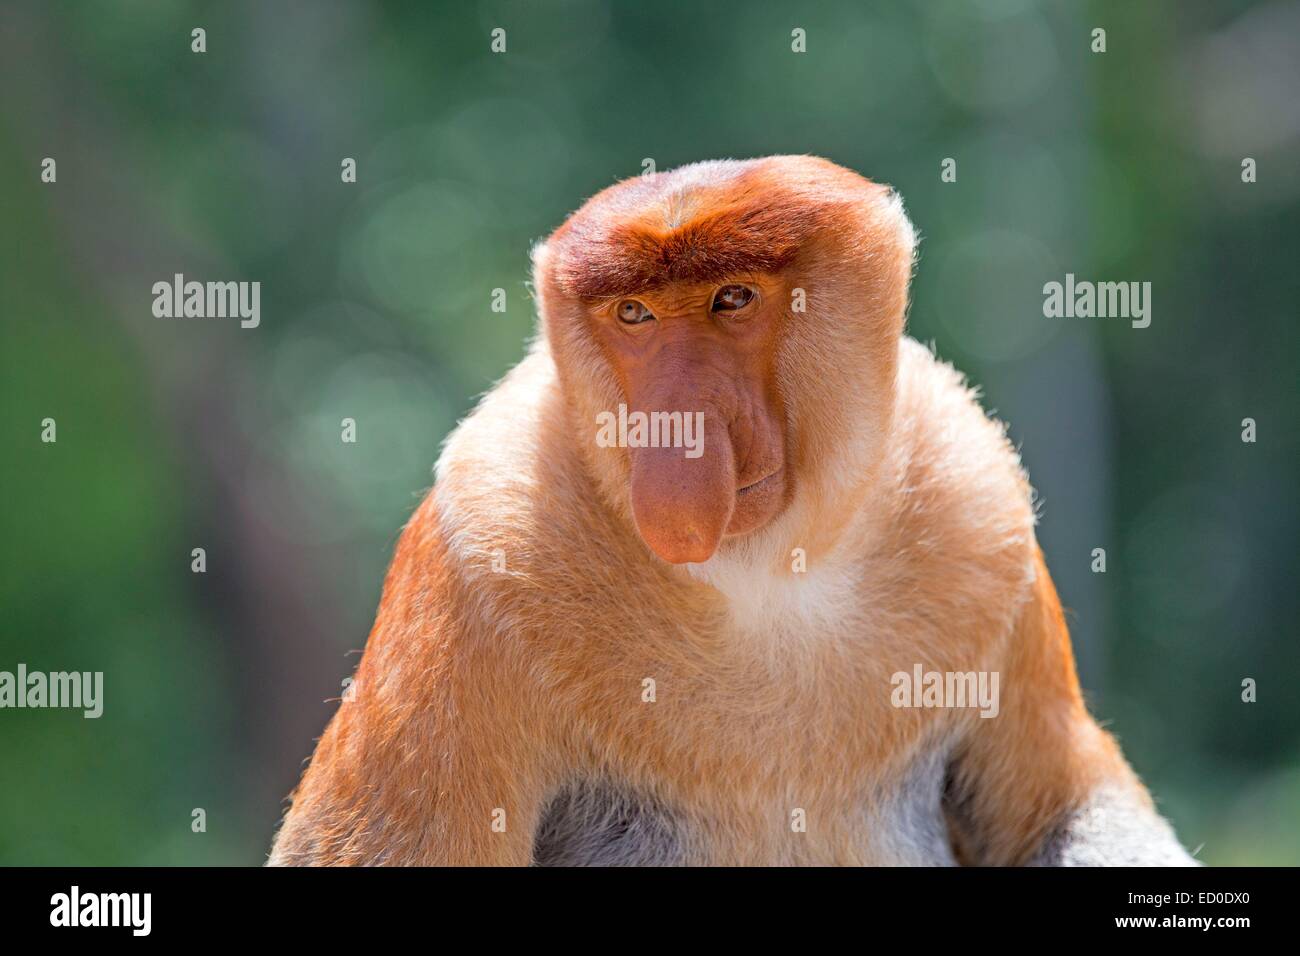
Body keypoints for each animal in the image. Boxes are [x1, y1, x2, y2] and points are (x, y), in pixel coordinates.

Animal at [268, 156, 1196, 866]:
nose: (675, 433)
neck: (768, 574)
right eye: (633, 314)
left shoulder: (977, 508)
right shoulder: (481, 547)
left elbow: (1062, 812)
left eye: (734, 299)